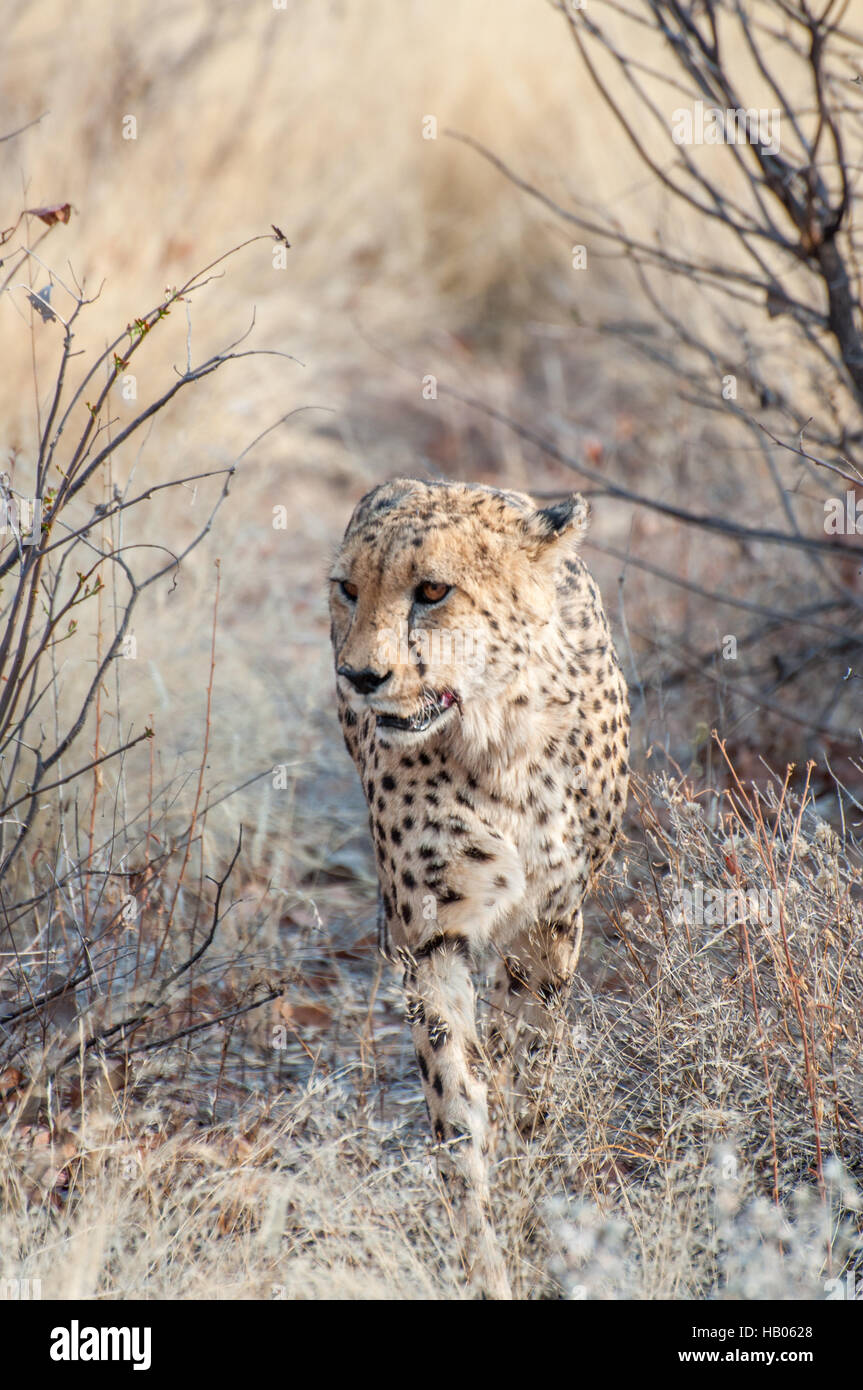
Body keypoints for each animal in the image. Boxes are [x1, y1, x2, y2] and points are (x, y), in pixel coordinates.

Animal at [329, 477, 629, 1298]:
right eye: (348, 589)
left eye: (433, 591)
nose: (361, 676)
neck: (499, 736)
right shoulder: (431, 936)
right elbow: (455, 1105)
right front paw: (484, 1256)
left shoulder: (550, 921)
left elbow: (530, 1075)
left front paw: (527, 1206)